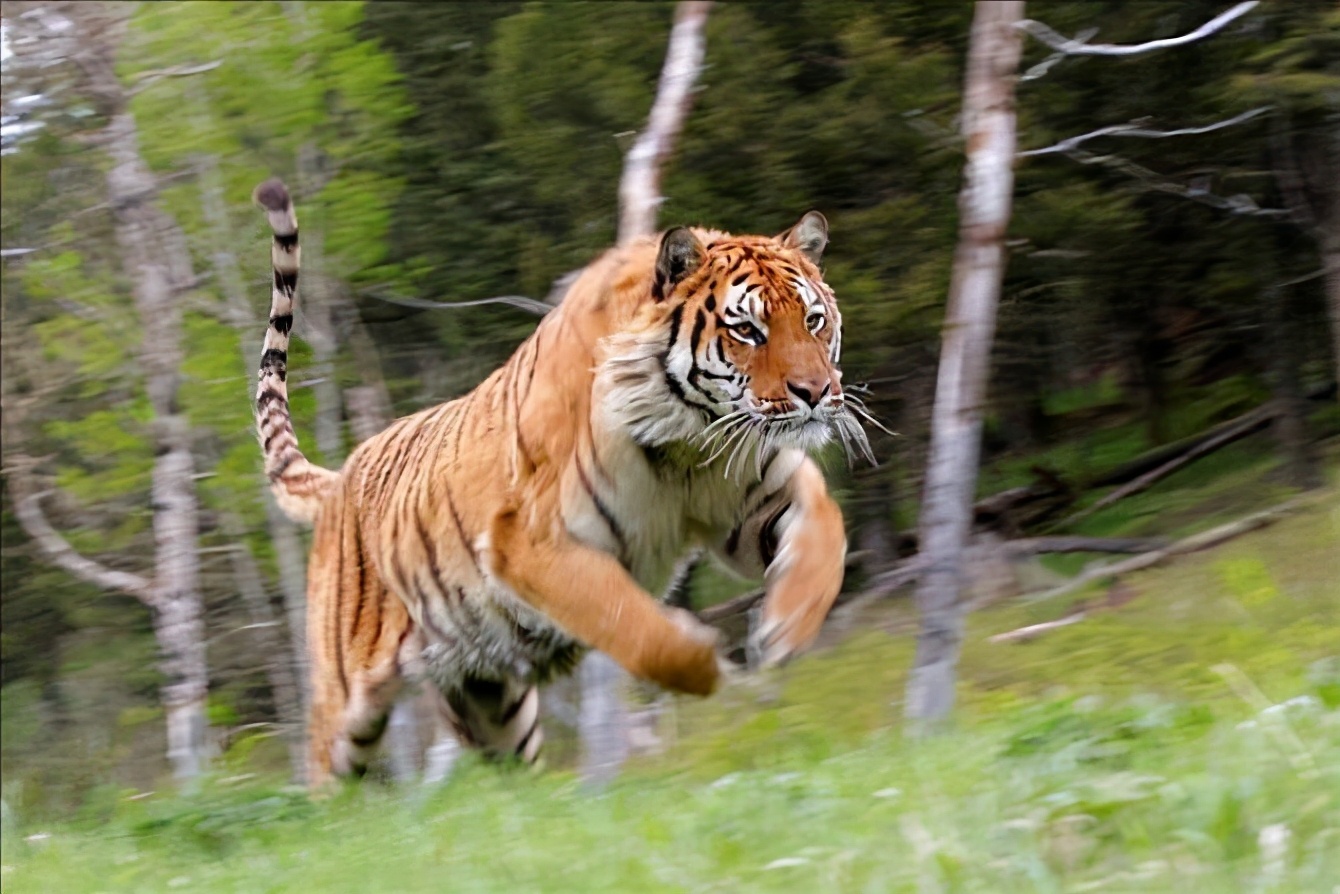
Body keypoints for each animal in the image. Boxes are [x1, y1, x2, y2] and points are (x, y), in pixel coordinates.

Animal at [252, 178, 870, 787]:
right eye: (746, 330)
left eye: (813, 320)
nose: (816, 392)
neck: (691, 436)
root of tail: (338, 480)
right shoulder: (529, 541)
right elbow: (635, 628)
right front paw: (706, 658)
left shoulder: (755, 497)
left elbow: (827, 532)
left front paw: (788, 626)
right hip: (345, 710)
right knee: (327, 787)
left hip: (492, 703)